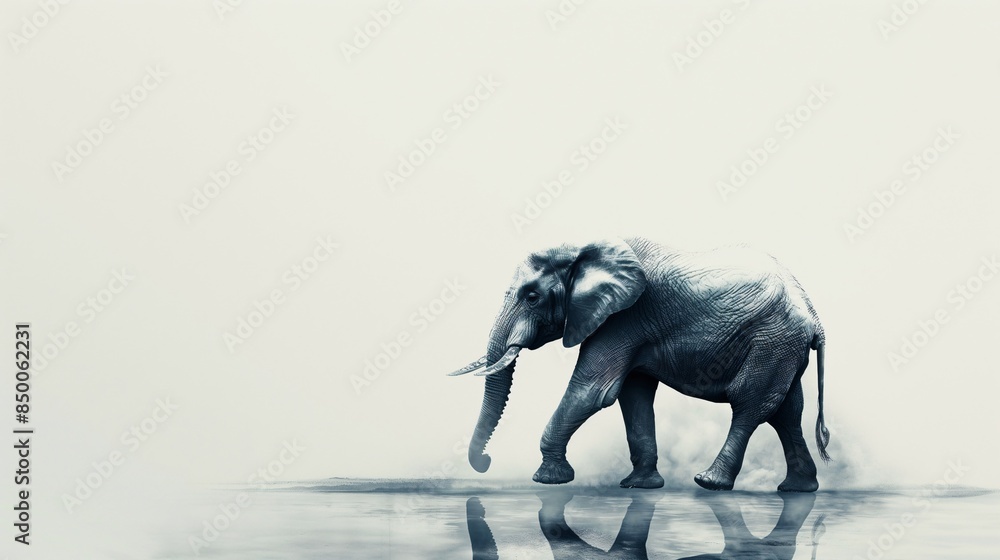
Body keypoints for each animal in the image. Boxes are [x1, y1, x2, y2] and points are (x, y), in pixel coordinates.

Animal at [448, 237, 830, 492]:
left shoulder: (623, 319)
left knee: (750, 404)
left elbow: (593, 392)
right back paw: (798, 489)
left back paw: (710, 482)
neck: (583, 246)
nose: (485, 463)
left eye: (531, 296)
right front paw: (639, 485)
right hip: (783, 347)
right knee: (786, 411)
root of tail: (814, 315)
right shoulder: (629, 326)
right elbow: (632, 395)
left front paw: (548, 480)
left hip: (771, 341)